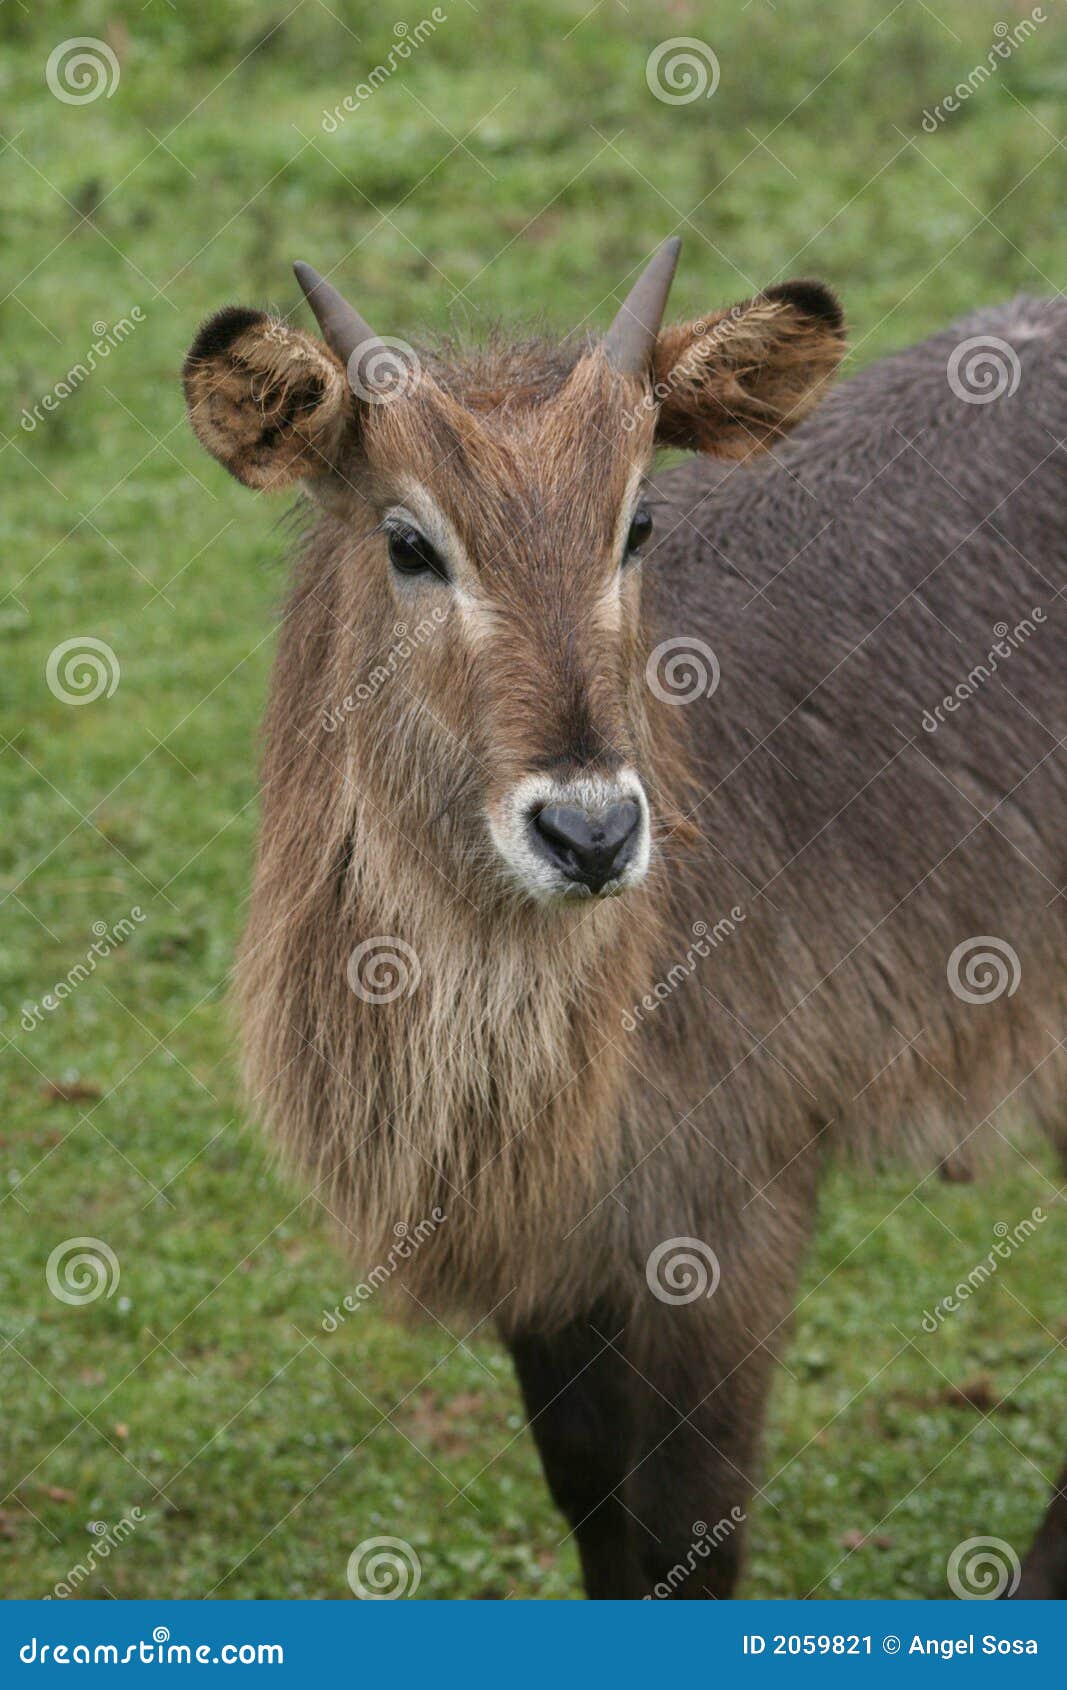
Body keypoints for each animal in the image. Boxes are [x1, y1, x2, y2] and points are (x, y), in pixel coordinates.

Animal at [184, 241, 1065, 1599]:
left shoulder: (728, 1214)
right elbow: (599, 1511)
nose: (589, 830)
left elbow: (688, 1530)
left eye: (636, 522)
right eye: (407, 539)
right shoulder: (552, 1257)